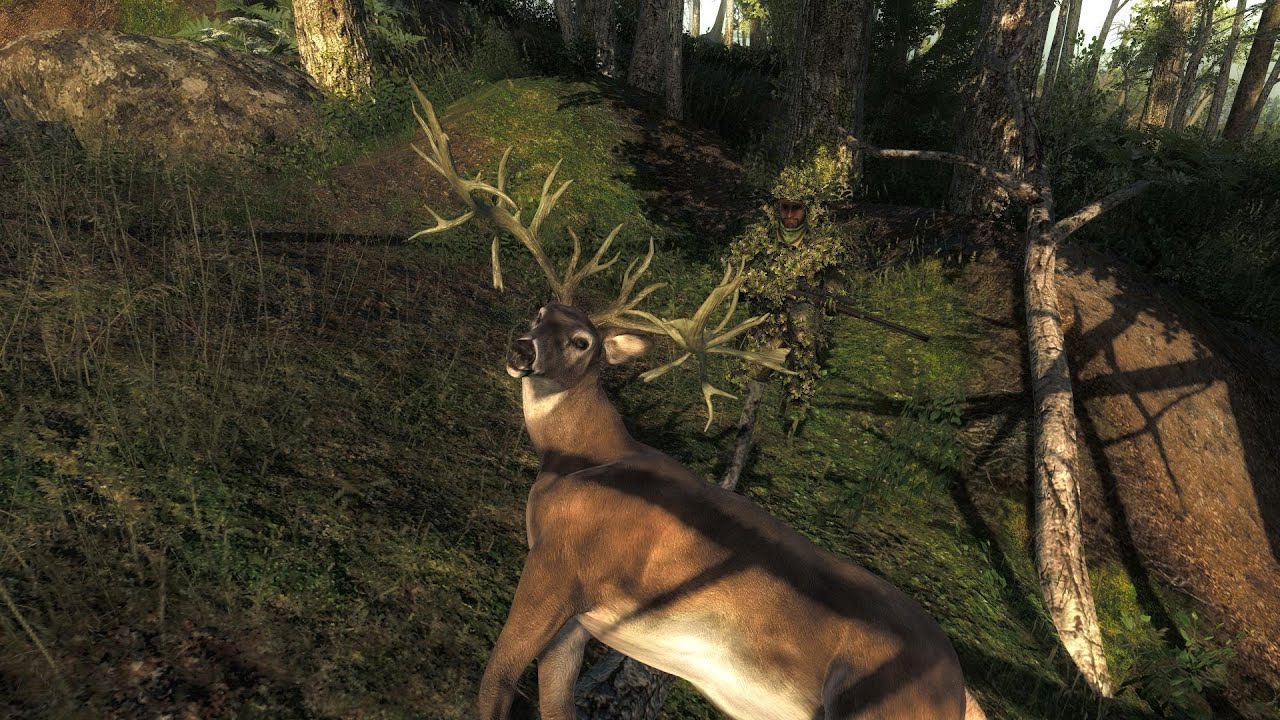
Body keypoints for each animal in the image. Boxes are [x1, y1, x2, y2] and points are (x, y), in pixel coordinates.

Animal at [404, 85, 985, 719]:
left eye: (582, 341)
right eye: (538, 313)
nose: (520, 348)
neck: (578, 457)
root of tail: (961, 690)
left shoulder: (558, 564)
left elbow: (497, 679)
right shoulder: (582, 618)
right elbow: (556, 700)